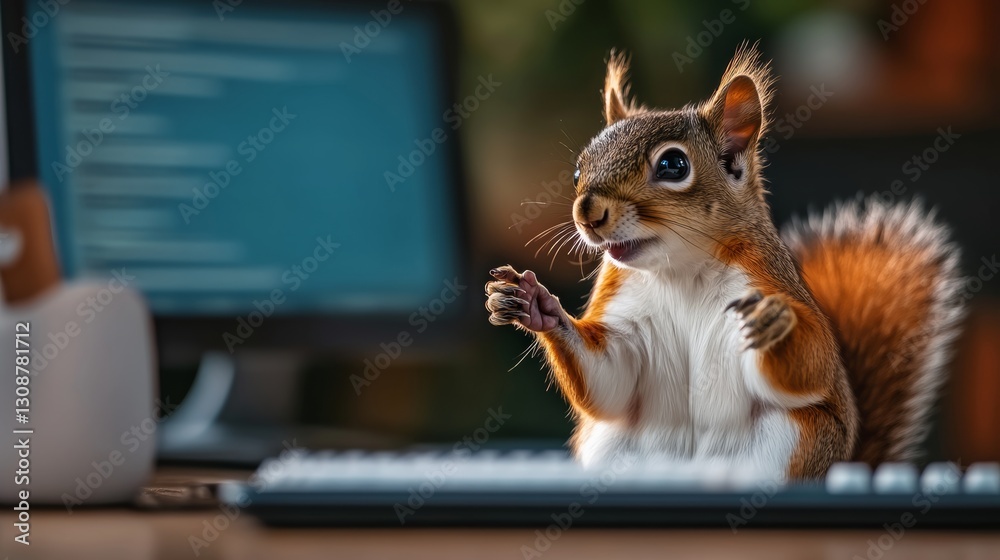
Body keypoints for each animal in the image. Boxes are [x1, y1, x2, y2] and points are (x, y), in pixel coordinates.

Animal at [485, 46, 965, 480]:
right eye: (577, 172)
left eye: (673, 164)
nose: (588, 213)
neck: (679, 271)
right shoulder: (626, 317)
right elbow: (609, 379)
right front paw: (537, 305)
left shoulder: (765, 277)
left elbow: (812, 367)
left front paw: (776, 323)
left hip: (795, 437)